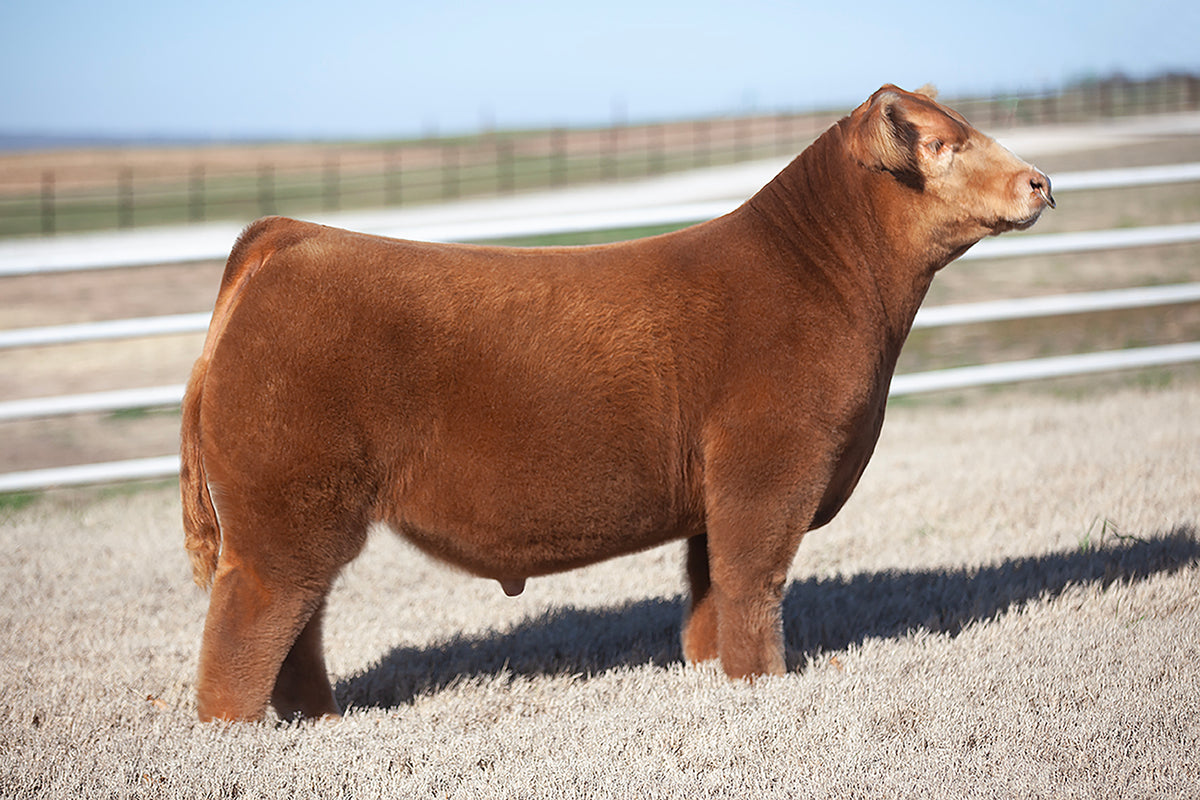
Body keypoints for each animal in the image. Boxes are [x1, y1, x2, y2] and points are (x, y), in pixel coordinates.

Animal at [181, 84, 1054, 721]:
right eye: (938, 144)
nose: (1039, 182)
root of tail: (288, 238)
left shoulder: (716, 491)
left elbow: (708, 590)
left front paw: (709, 674)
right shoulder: (771, 469)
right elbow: (754, 582)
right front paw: (762, 685)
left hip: (302, 517)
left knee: (300, 627)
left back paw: (318, 721)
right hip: (284, 512)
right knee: (250, 625)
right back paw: (242, 734)